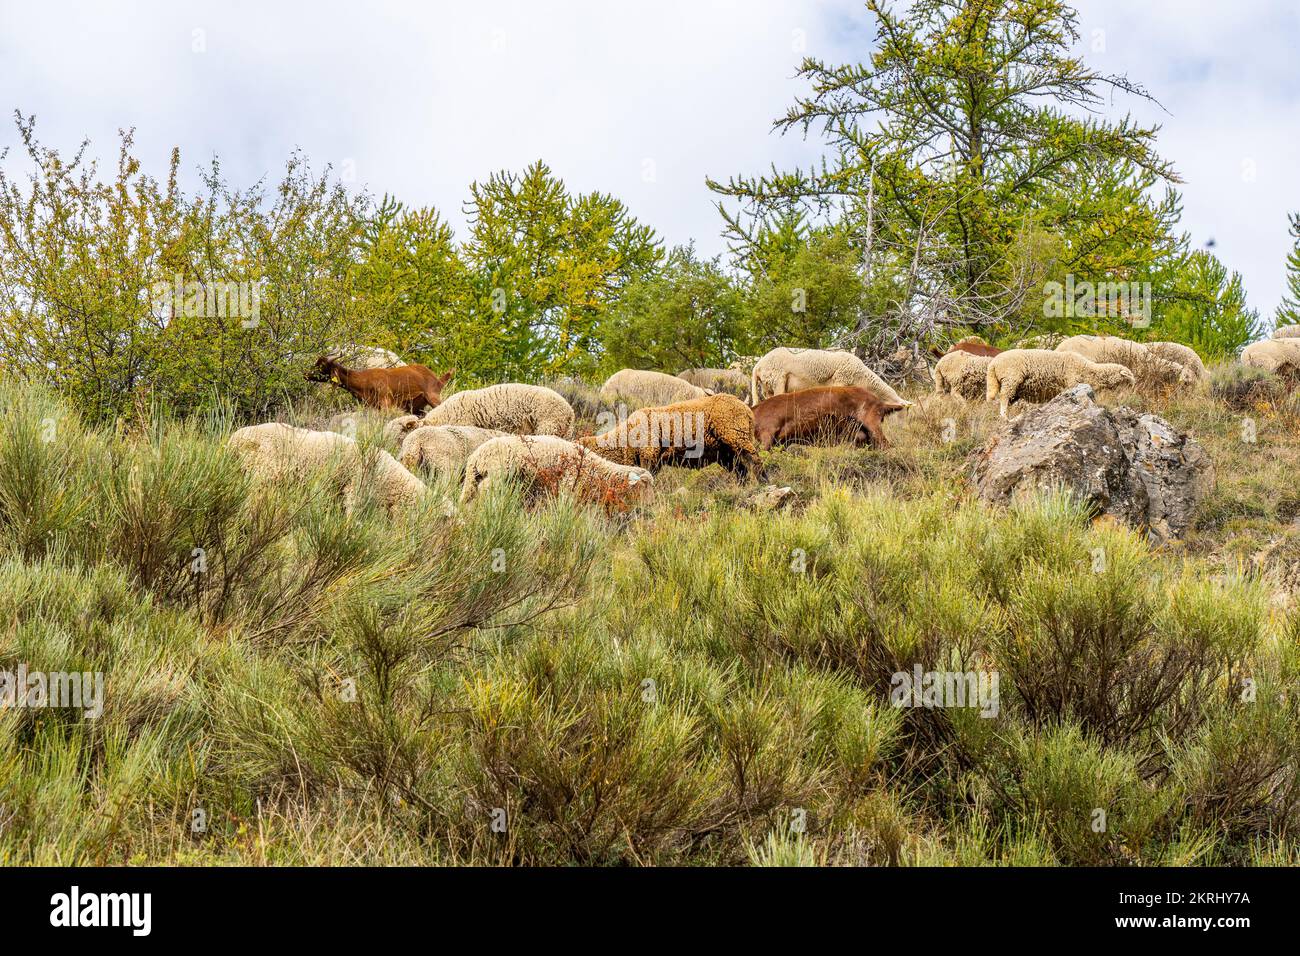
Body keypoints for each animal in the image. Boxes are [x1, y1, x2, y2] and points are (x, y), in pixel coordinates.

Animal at [460, 434, 655, 506]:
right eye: (643, 485)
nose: (650, 505)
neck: (595, 469)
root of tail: (477, 456)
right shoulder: (568, 483)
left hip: (474, 477)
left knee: (467, 494)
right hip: (498, 473)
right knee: (485, 489)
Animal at [578, 393, 759, 477]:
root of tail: (747, 410)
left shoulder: (648, 454)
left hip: (736, 435)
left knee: (756, 460)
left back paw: (762, 481)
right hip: (727, 452)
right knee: (741, 471)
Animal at [986, 349, 1137, 419]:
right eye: (1129, 383)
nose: (1128, 399)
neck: (1088, 370)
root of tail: (993, 364)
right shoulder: (1072, 382)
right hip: (1011, 378)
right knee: (1004, 397)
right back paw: (1005, 417)